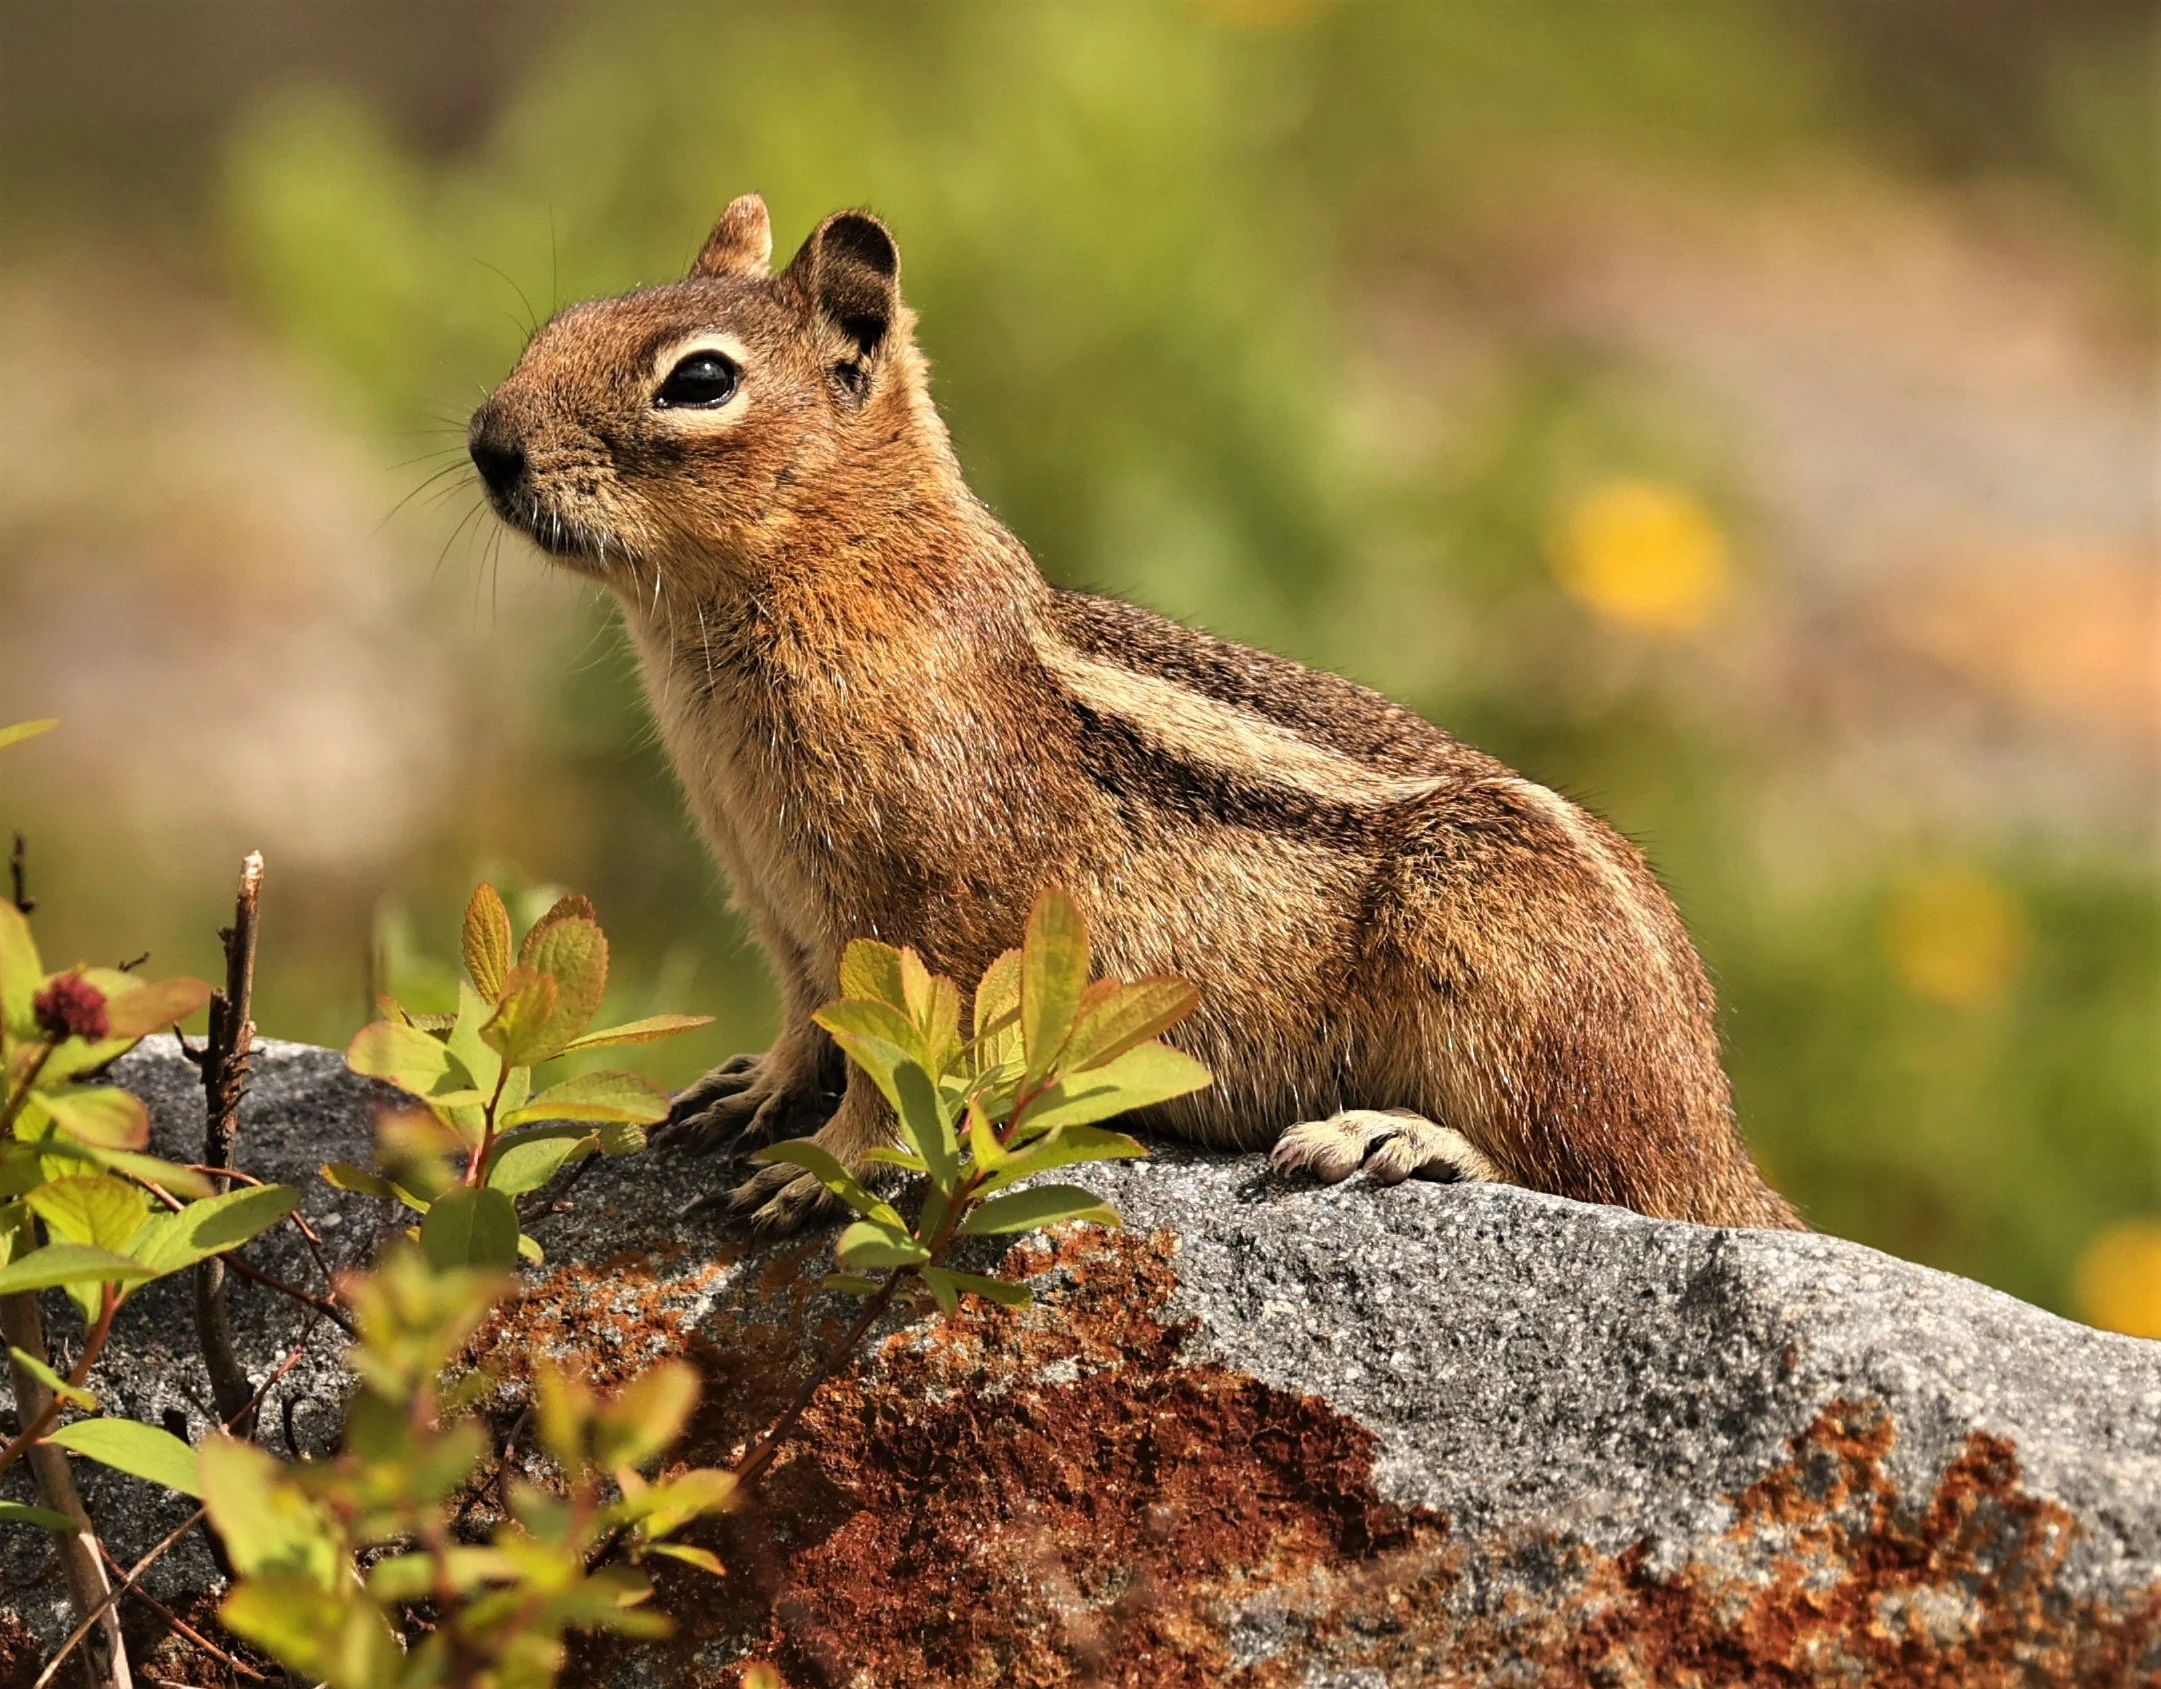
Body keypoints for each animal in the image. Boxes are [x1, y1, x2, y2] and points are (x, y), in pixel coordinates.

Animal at [468, 194, 1803, 1235]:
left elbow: (897, 1062)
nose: (487, 439)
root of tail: (1716, 1130)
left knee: (1601, 1174)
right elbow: (810, 1023)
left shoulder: (926, 913)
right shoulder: (781, 910)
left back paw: (1392, 1139)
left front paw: (826, 1172)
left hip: (1509, 972)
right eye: (549, 331)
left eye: (697, 380)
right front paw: (748, 1093)